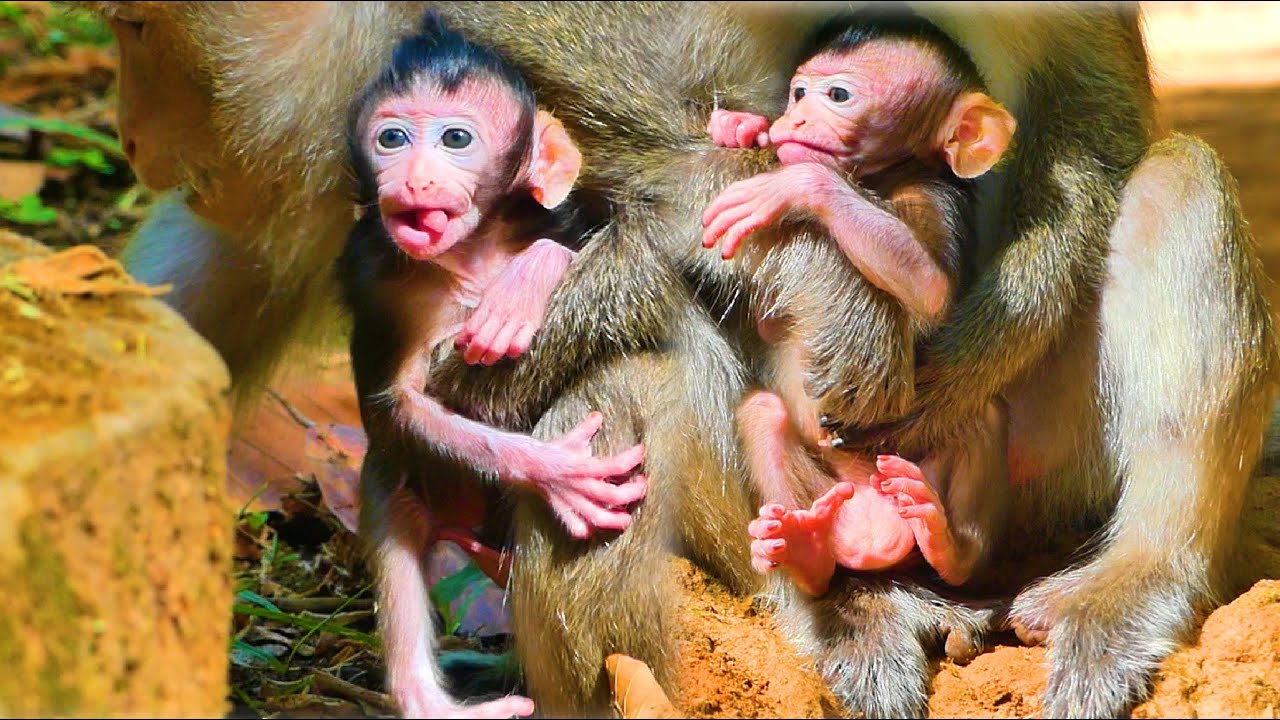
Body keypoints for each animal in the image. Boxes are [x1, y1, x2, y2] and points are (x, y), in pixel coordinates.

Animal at [700, 13, 1018, 594]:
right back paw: (805, 553)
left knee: (983, 412)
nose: (796, 117)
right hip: (824, 493)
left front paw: (801, 184)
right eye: (798, 92)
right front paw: (738, 127)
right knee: (762, 415)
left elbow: (929, 288)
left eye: (838, 95)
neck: (881, 176)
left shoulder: (934, 196)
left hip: (908, 468)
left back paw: (951, 546)